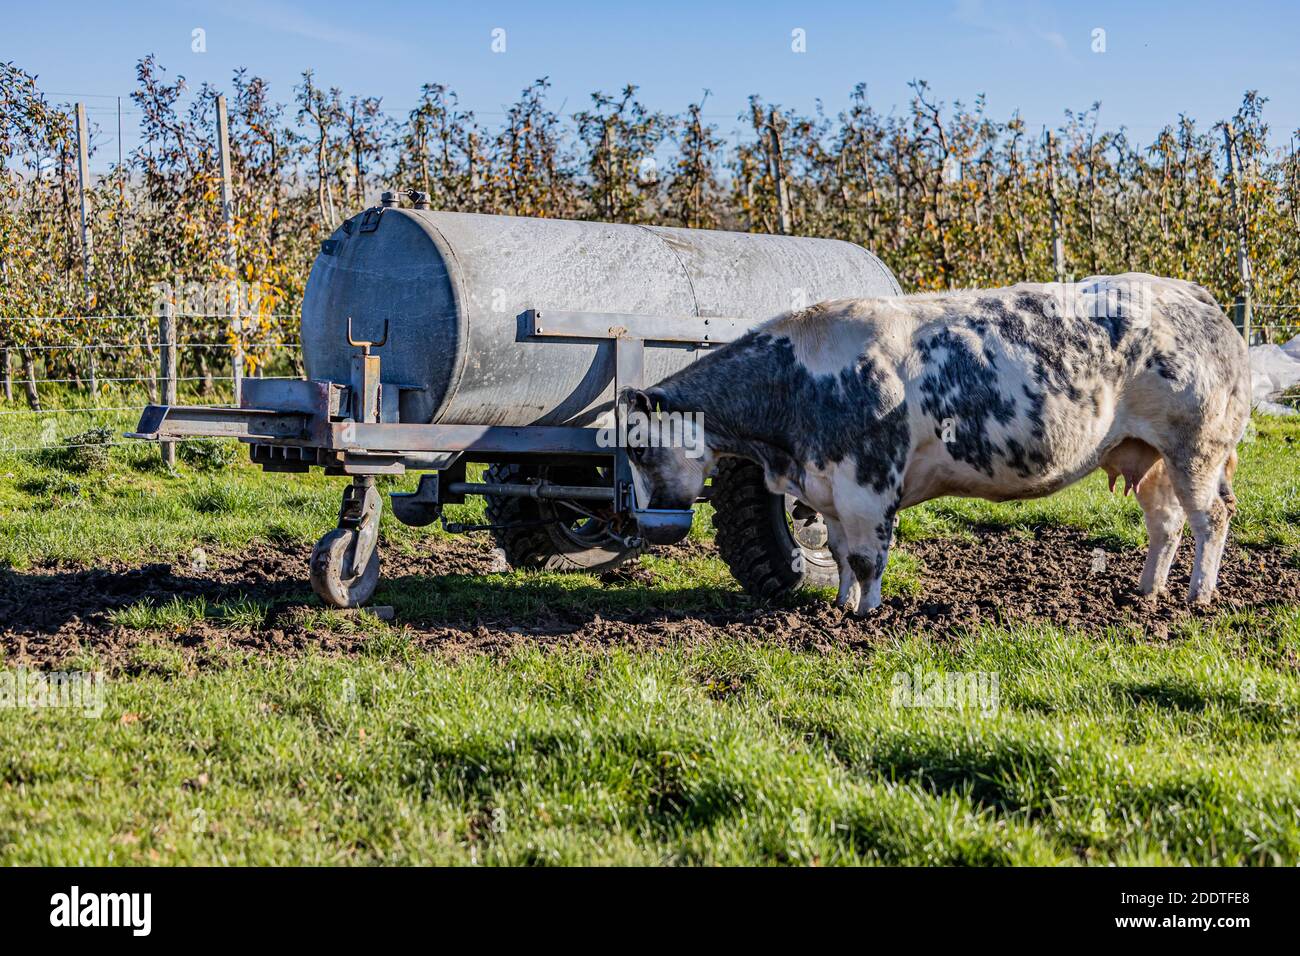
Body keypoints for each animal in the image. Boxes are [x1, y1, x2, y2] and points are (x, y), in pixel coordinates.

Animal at [623, 274, 1251, 615]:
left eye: (638, 449)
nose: (644, 522)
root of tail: (1195, 293)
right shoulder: (832, 490)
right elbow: (840, 553)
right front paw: (840, 606)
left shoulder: (869, 482)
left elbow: (866, 556)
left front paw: (866, 616)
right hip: (1148, 452)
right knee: (1166, 523)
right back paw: (1146, 592)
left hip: (1198, 446)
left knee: (1212, 518)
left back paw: (1197, 596)